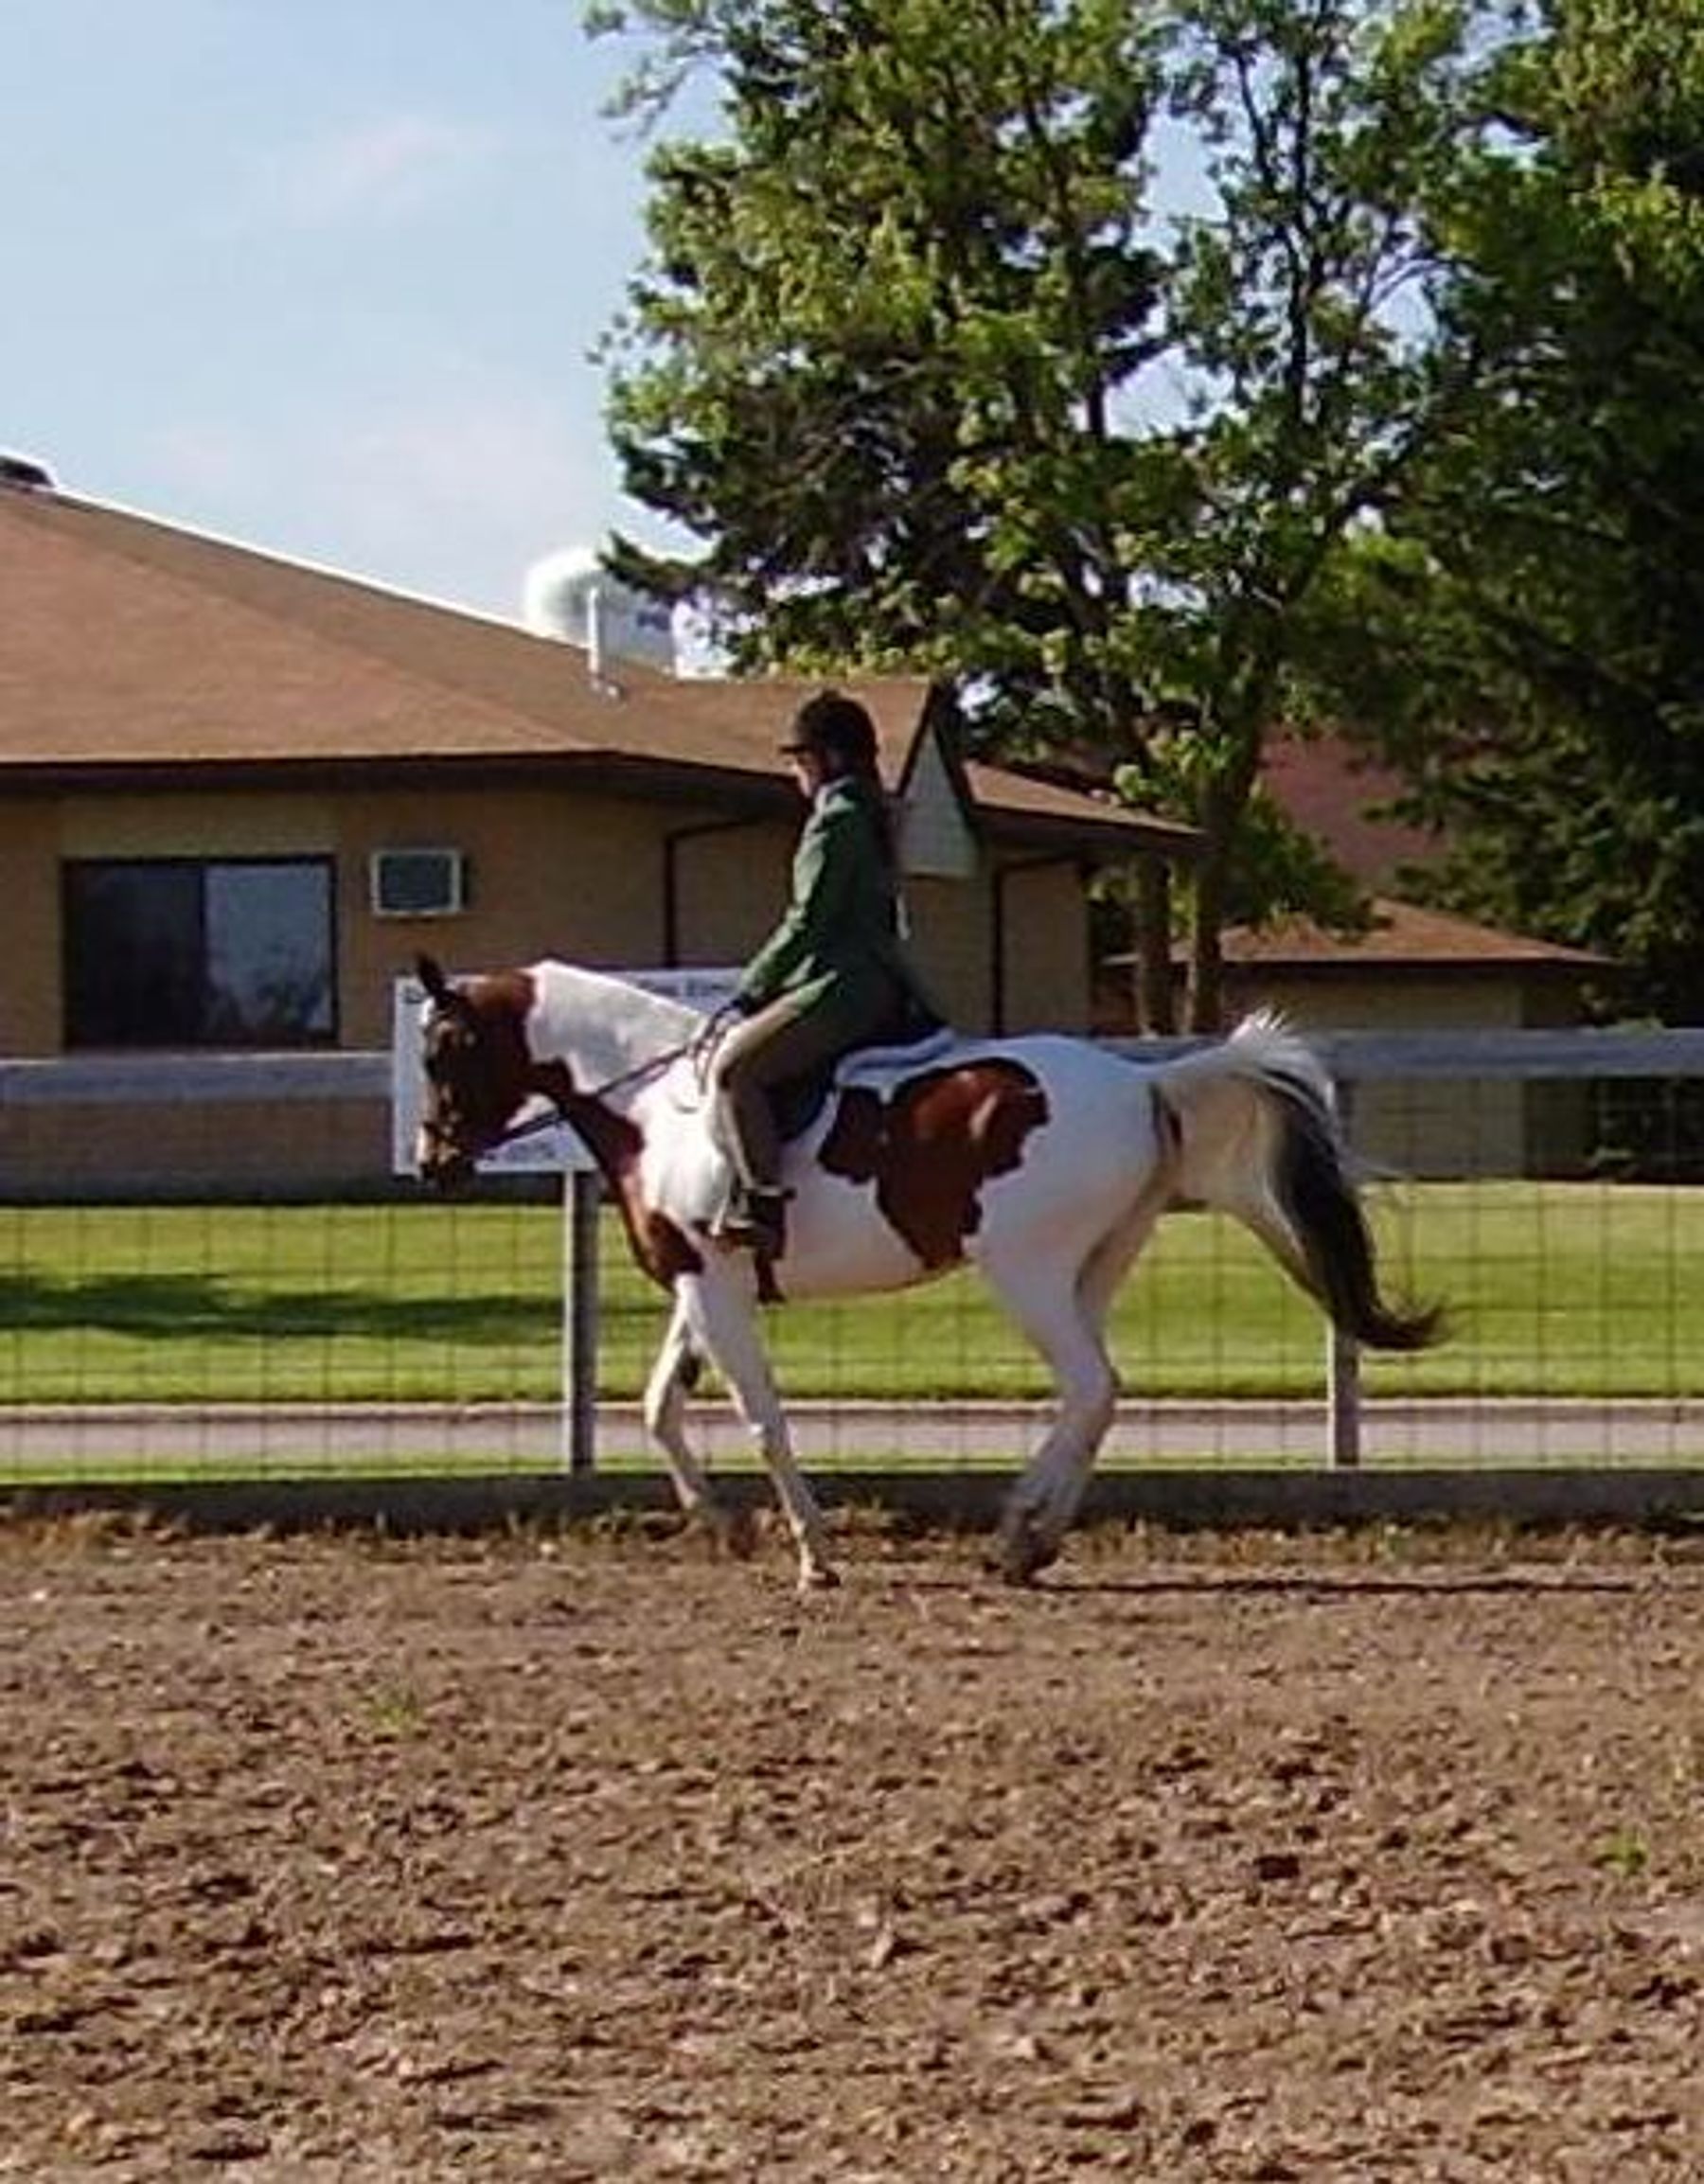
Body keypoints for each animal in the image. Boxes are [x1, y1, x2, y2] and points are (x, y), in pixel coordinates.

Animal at [412, 953, 1439, 1590]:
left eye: (446, 1048)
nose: (433, 1161)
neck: (658, 1102)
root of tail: (1145, 1083)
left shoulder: (713, 1283)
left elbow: (761, 1418)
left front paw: (813, 1553)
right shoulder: (702, 1283)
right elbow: (661, 1404)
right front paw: (722, 1524)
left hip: (1027, 1272)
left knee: (1091, 1386)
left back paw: (1020, 1534)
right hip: (1090, 1269)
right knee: (1094, 1398)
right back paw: (1028, 1540)